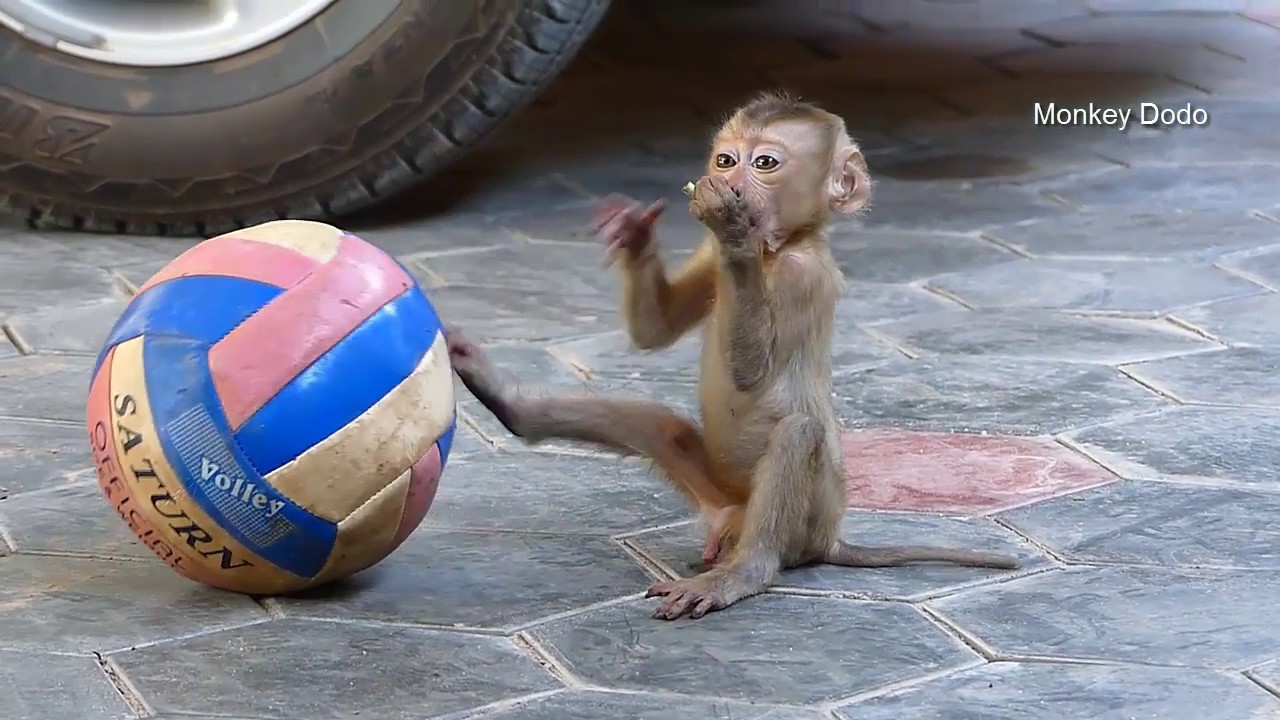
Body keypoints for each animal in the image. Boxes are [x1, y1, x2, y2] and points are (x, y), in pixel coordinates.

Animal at [445, 92, 1018, 621]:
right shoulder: (706, 256)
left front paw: (735, 230)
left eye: (764, 163)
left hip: (809, 517)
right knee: (661, 428)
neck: (780, 248)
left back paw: (743, 574)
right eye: (725, 159)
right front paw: (634, 233)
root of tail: (829, 538)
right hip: (715, 490)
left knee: (798, 434)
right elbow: (657, 332)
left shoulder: (803, 276)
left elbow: (751, 372)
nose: (731, 180)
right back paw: (509, 403)